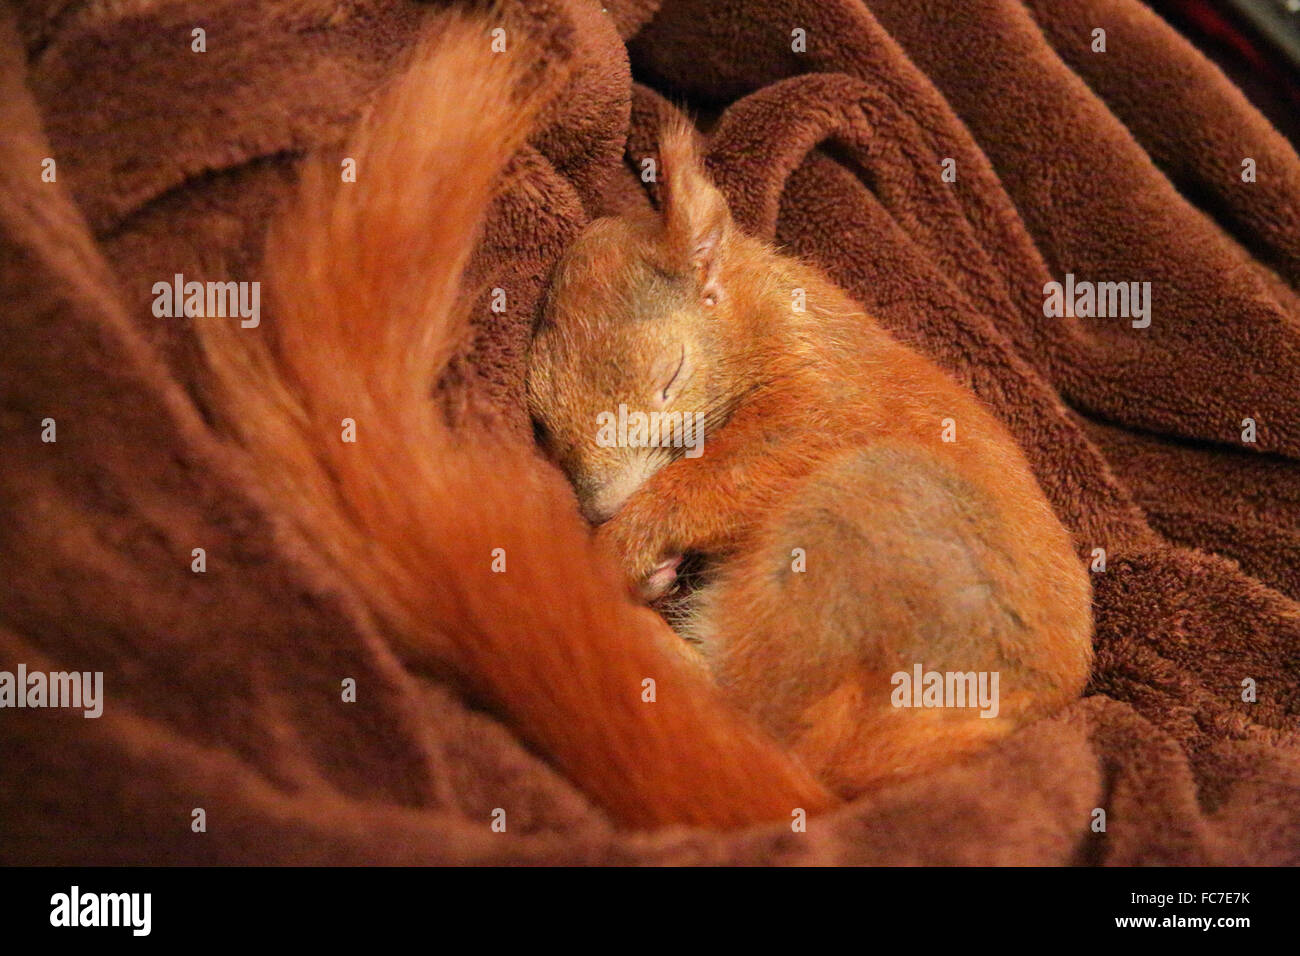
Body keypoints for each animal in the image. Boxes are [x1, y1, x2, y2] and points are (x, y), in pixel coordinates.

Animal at [526, 122, 1095, 793]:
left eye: (671, 375)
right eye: (540, 420)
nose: (603, 506)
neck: (761, 313)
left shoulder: (816, 399)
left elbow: (736, 468)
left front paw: (624, 545)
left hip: (857, 519)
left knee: (752, 710)